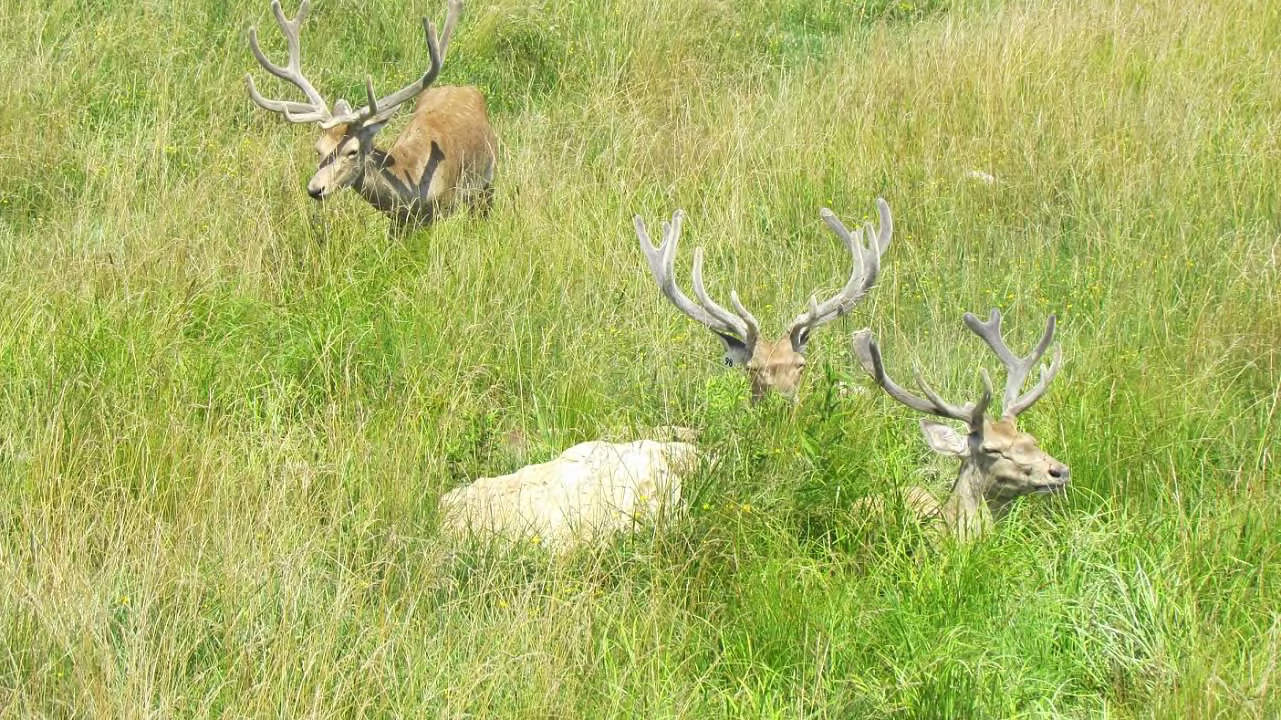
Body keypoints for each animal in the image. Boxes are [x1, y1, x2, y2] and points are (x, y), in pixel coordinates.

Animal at [246, 0, 497, 231]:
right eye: (318, 148)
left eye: (352, 151)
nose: (315, 189)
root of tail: (464, 88)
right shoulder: (399, 223)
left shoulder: (443, 208)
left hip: (487, 181)